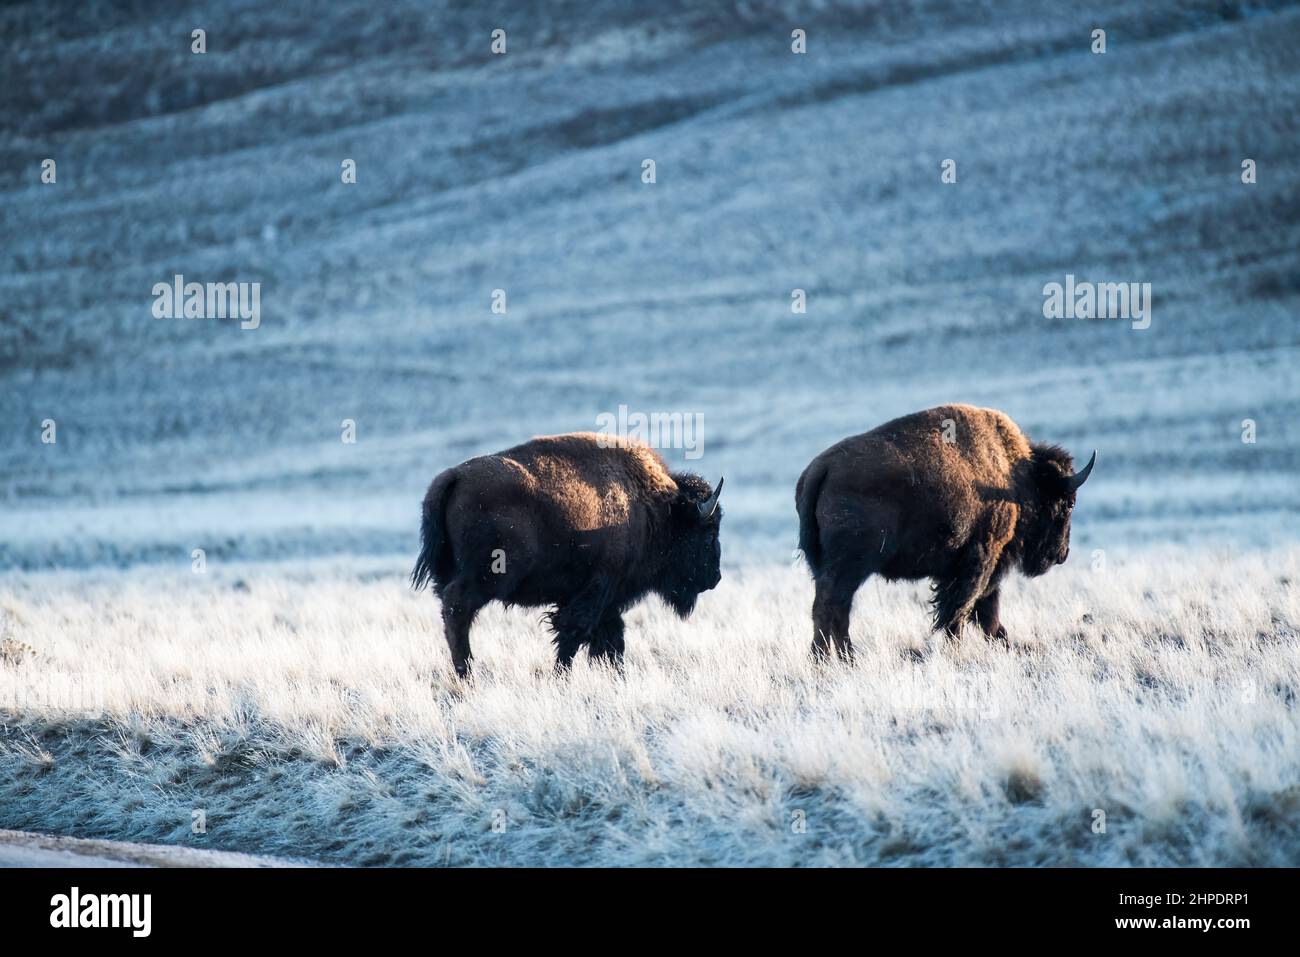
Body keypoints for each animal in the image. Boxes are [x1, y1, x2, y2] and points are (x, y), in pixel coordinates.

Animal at [411, 432, 723, 676]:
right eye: (708, 532)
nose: (715, 577)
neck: (654, 508)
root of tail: (453, 477)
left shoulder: (605, 600)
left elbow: (612, 639)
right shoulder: (597, 589)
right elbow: (574, 633)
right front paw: (561, 676)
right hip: (488, 576)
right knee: (458, 609)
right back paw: (467, 674)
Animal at [796, 404, 1095, 658]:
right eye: (1068, 504)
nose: (1062, 554)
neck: (1017, 477)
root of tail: (820, 468)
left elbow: (983, 607)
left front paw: (1001, 641)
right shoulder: (980, 559)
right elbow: (964, 607)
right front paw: (958, 648)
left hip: (830, 566)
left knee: (835, 609)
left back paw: (836, 658)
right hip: (850, 566)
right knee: (831, 606)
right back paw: (833, 658)